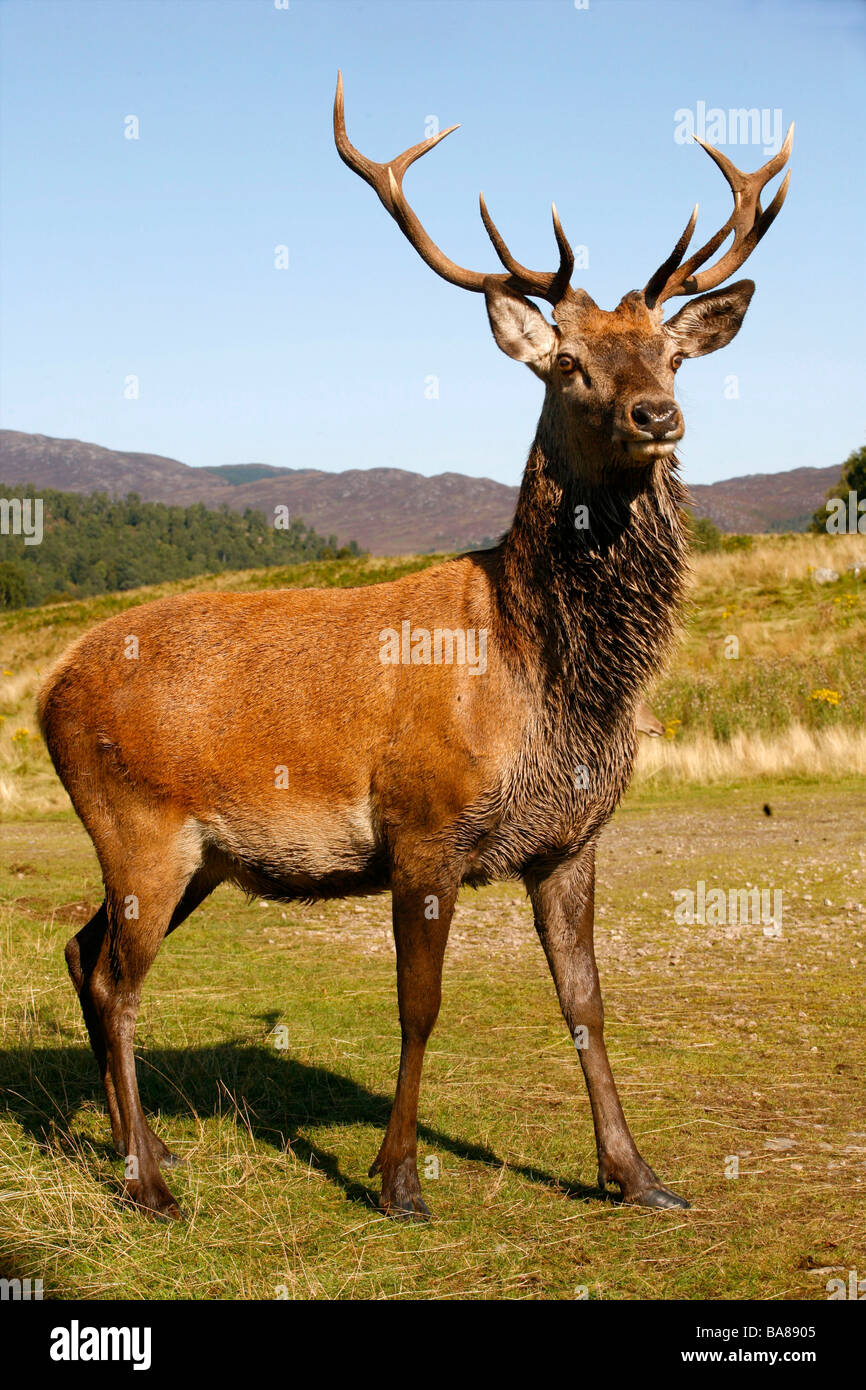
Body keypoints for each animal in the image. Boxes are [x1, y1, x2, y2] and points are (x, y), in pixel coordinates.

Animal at [37, 75, 792, 1222]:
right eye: (567, 364)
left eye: (668, 353)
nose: (656, 413)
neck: (547, 683)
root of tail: (45, 690)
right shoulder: (426, 828)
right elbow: (419, 1005)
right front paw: (397, 1181)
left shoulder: (569, 839)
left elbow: (587, 1001)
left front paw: (637, 1175)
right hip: (138, 824)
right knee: (118, 978)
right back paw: (152, 1182)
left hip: (197, 854)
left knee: (84, 956)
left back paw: (135, 1150)